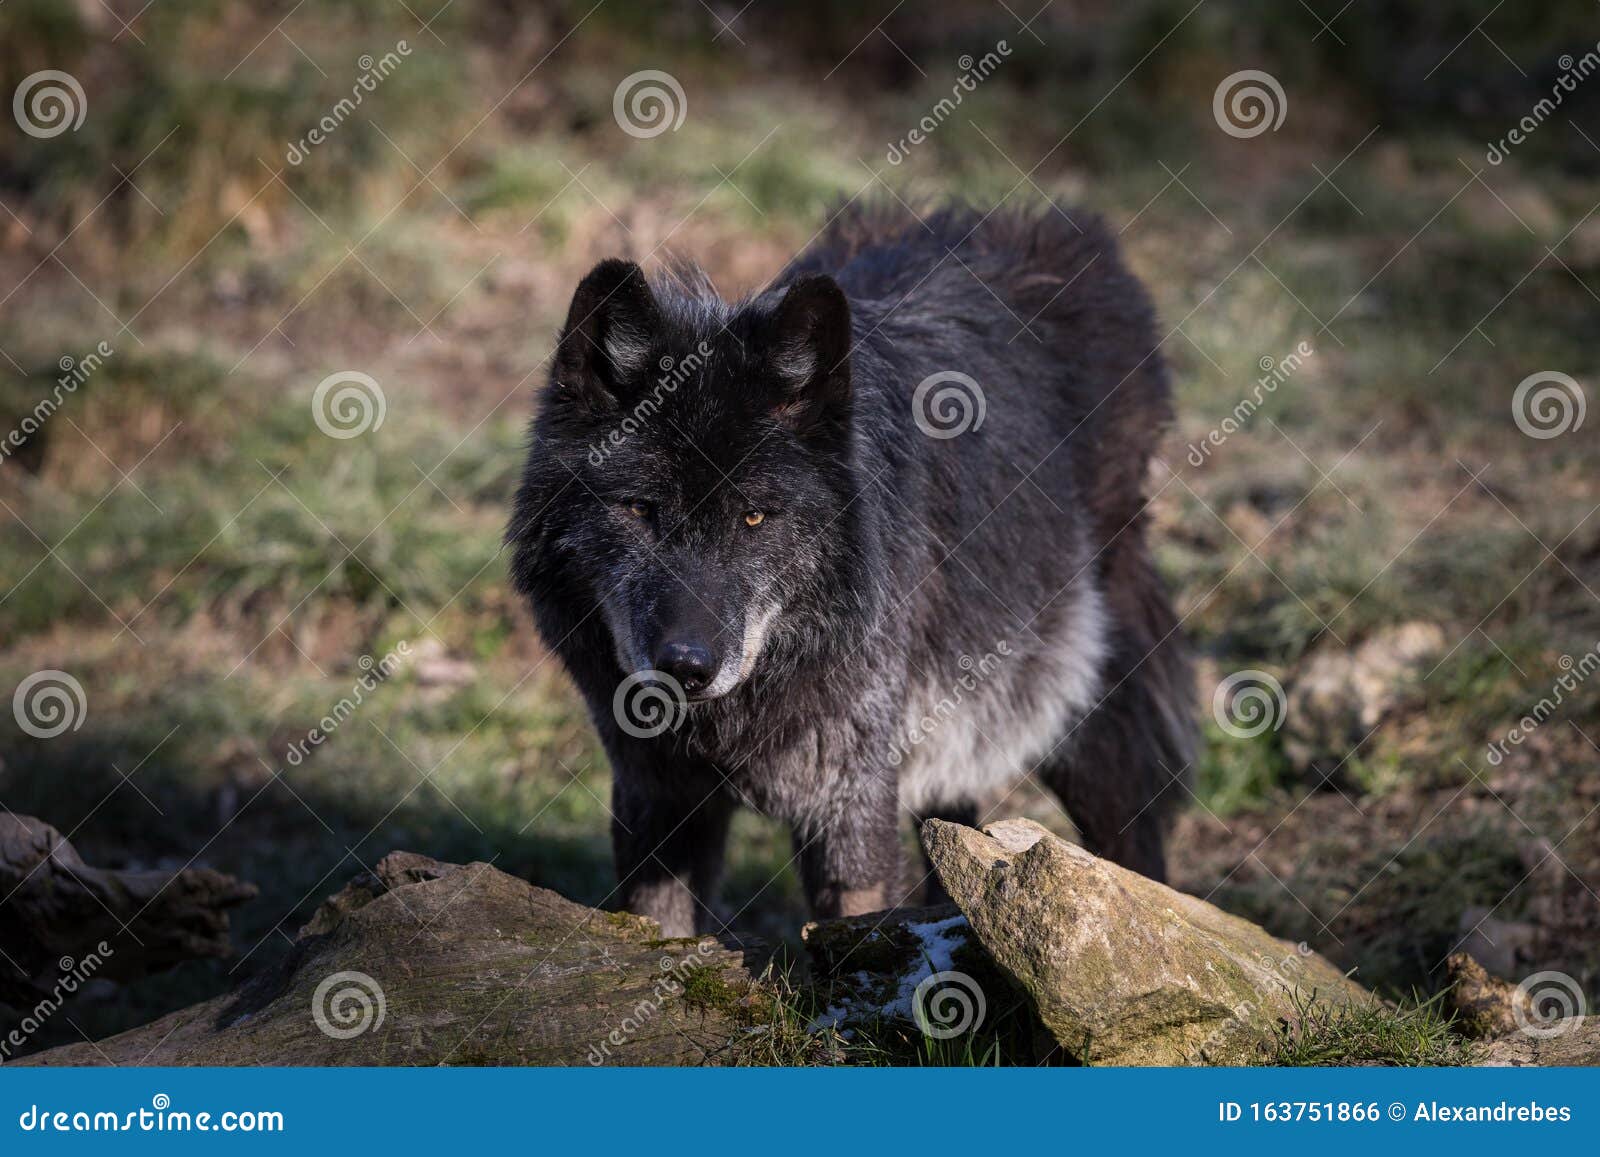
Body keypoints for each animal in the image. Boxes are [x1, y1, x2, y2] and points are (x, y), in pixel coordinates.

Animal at [508, 202, 1194, 938]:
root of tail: (1077, 232)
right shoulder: (657, 802)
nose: (685, 666)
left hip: (1077, 705)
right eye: (640, 509)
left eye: (754, 517)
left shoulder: (849, 804)